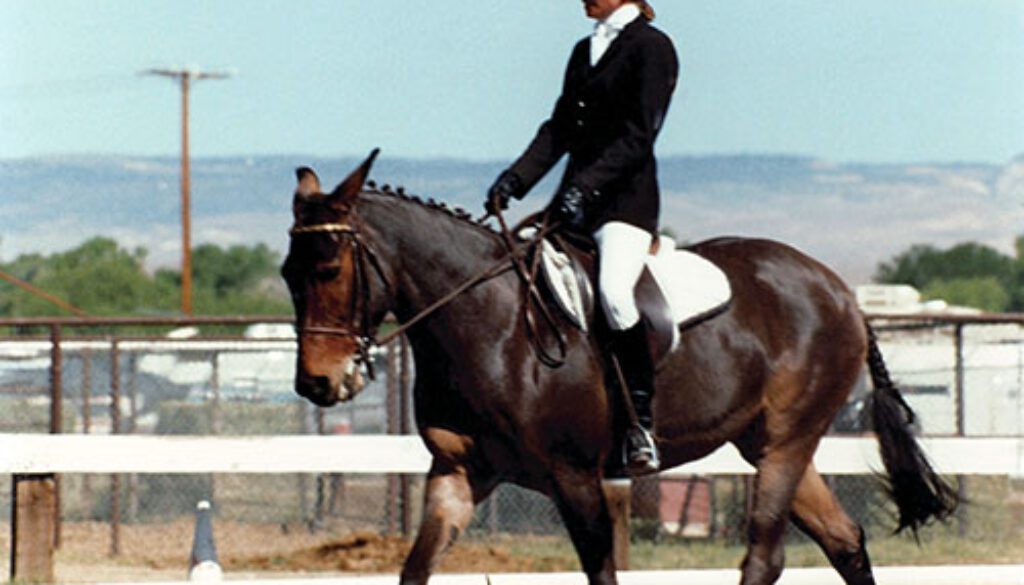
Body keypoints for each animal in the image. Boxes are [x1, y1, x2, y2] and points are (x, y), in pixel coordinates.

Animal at [281, 151, 957, 585]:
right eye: (288, 273)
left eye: (331, 270)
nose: (317, 383)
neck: (488, 323)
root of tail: (839, 291)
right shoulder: (459, 473)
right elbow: (415, 570)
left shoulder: (575, 476)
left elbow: (602, 573)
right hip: (767, 442)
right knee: (845, 543)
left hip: (789, 440)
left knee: (765, 558)